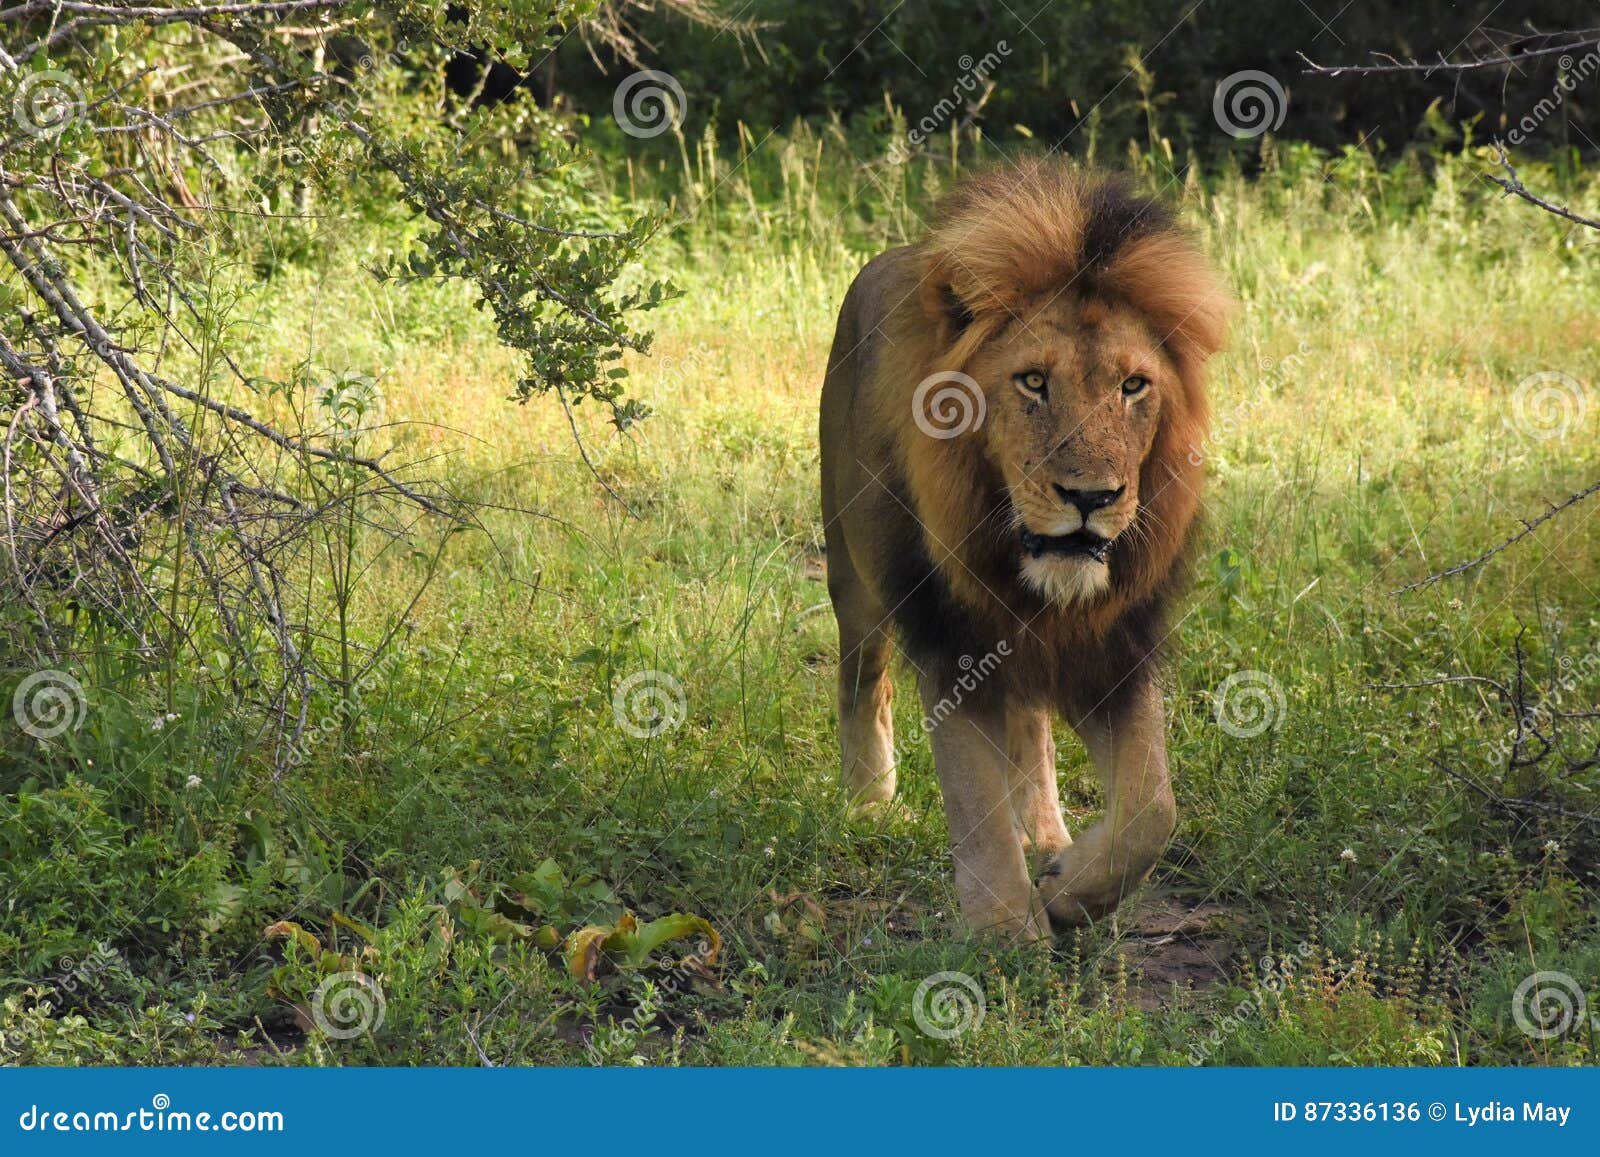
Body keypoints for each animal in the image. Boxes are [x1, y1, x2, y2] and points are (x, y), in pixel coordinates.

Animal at [819, 160, 1232, 941]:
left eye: (1134, 385)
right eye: (1033, 381)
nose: (1091, 497)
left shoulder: (1115, 649)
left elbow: (1152, 810)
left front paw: (1070, 890)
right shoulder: (952, 643)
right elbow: (976, 802)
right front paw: (1006, 929)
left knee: (1032, 731)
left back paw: (1046, 837)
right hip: (851, 568)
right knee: (863, 676)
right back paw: (867, 805)